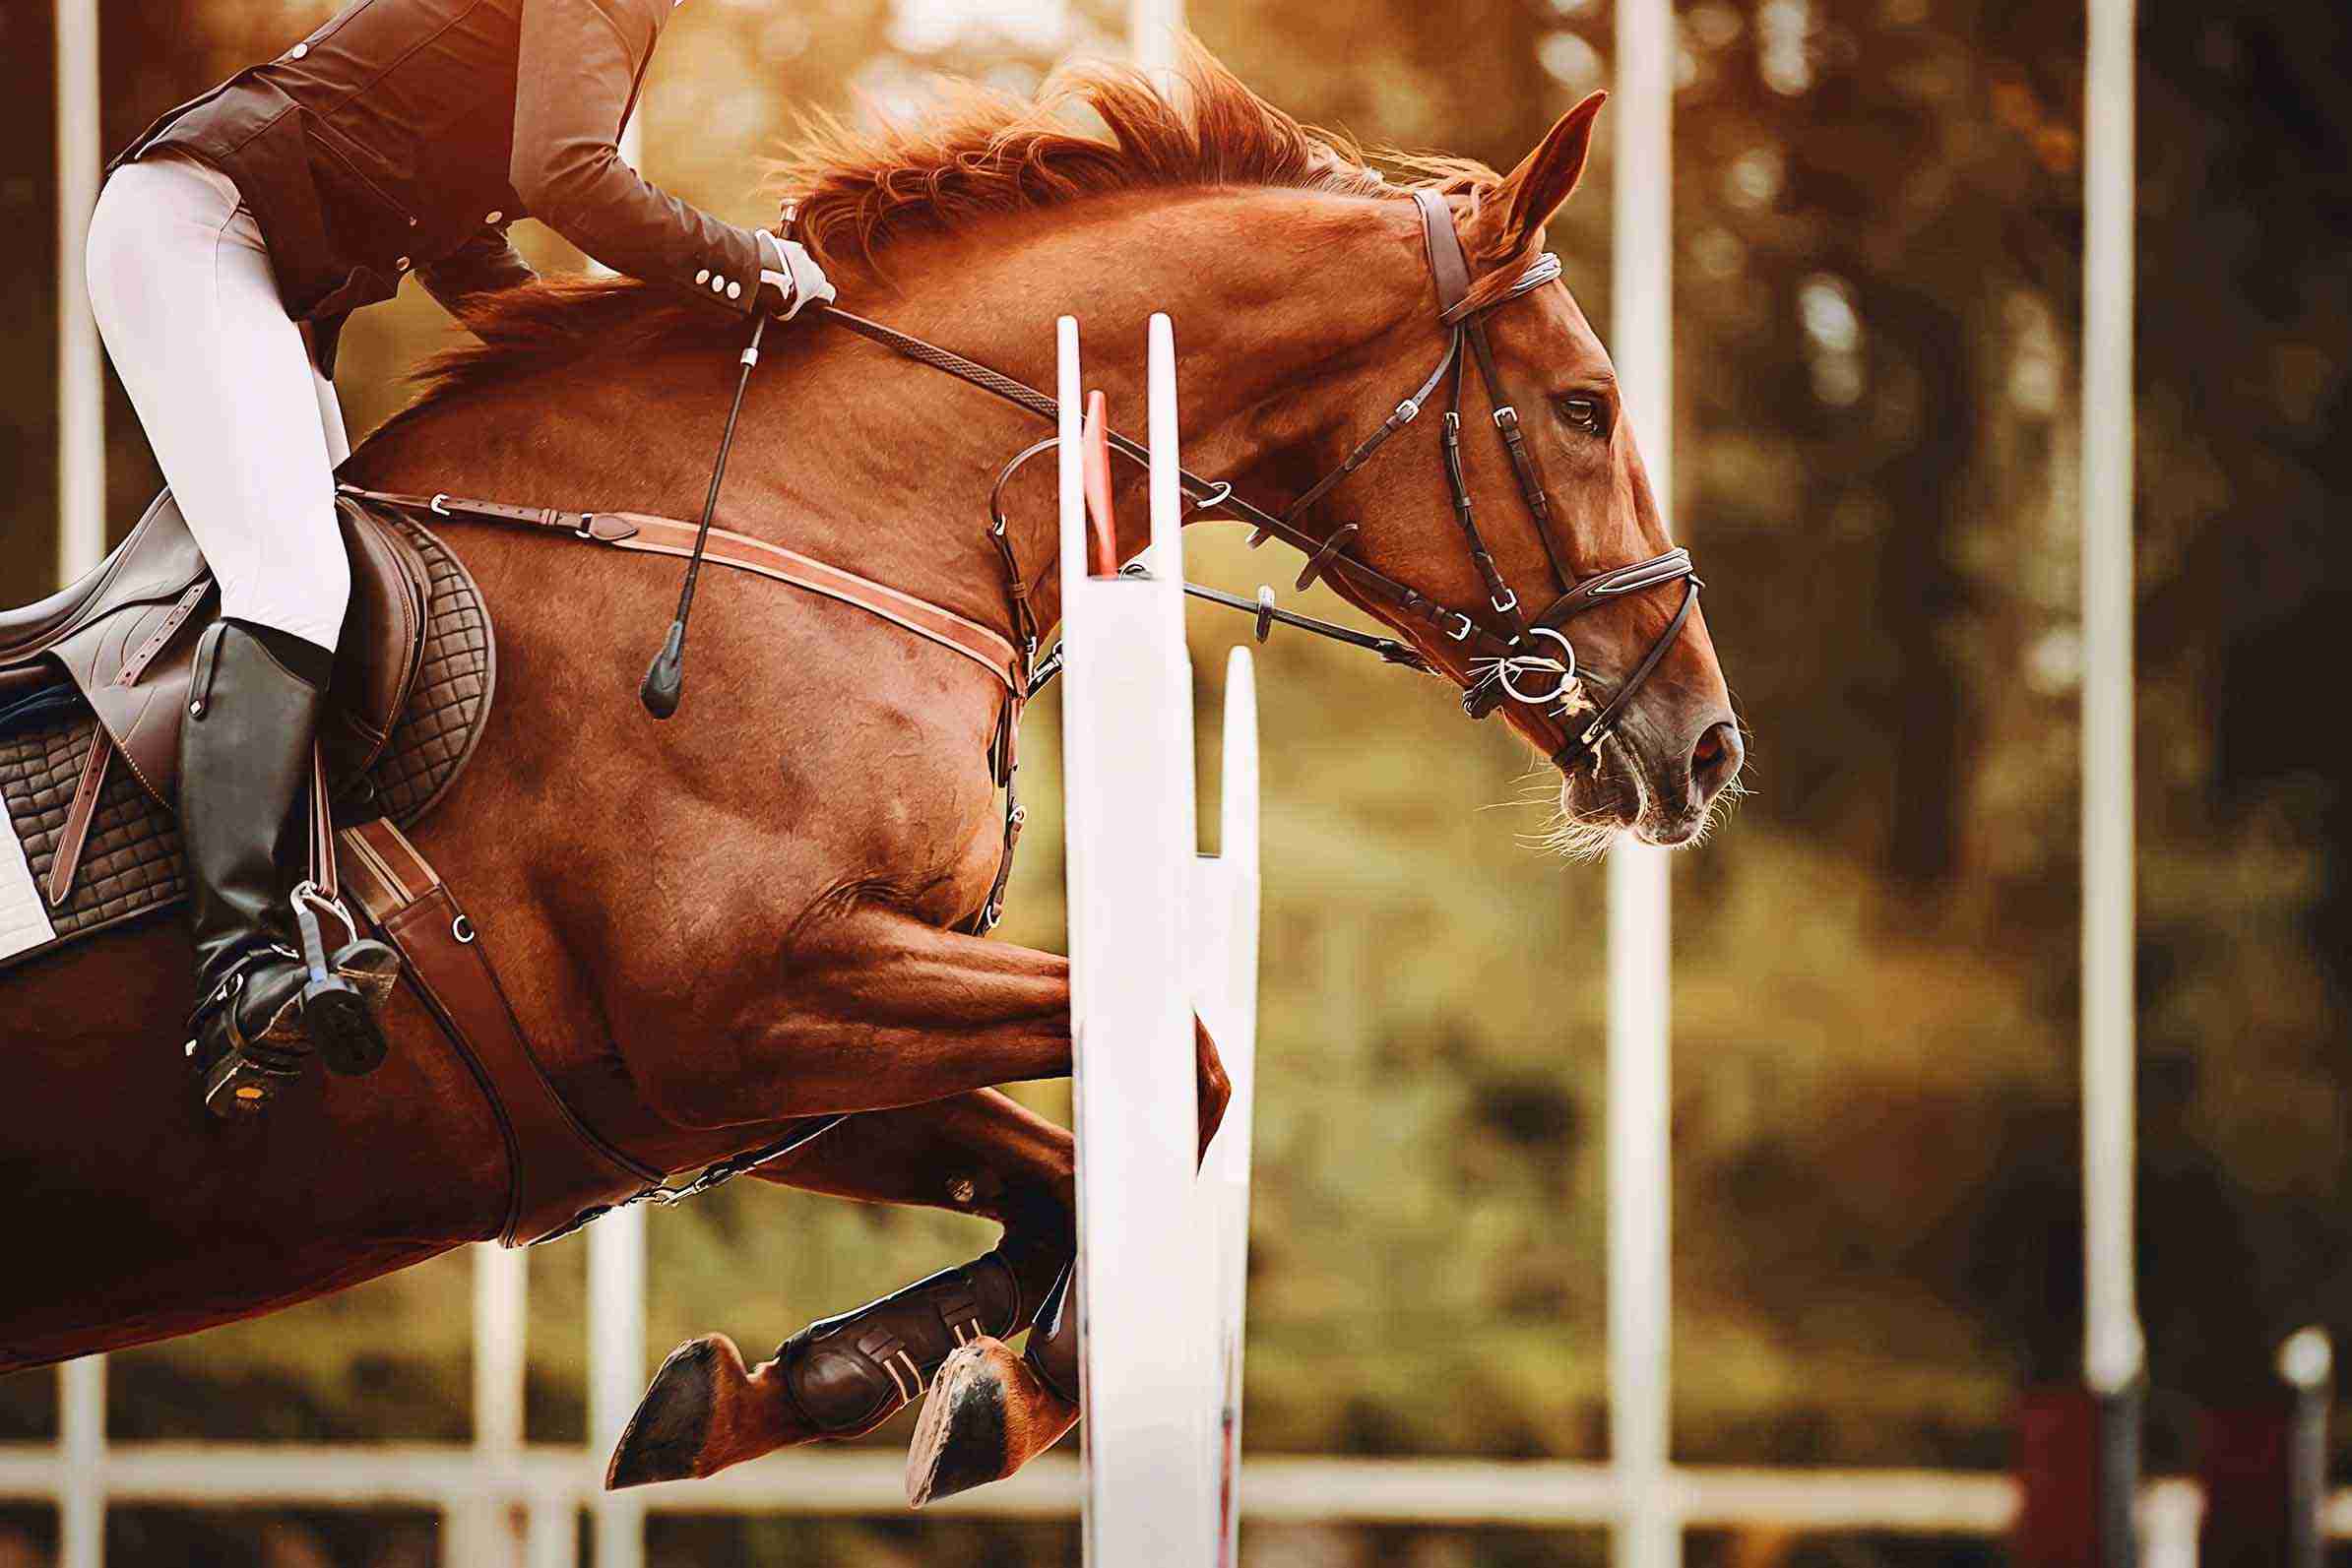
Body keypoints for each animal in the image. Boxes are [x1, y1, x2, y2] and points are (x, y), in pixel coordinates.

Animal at [0, 48, 1740, 1503]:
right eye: (1585, 408)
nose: (1703, 744)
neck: (823, 516)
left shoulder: (725, 1082)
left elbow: (1058, 1159)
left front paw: (819, 1384)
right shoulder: (742, 1001)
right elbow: (1183, 1071)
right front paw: (1006, 1382)